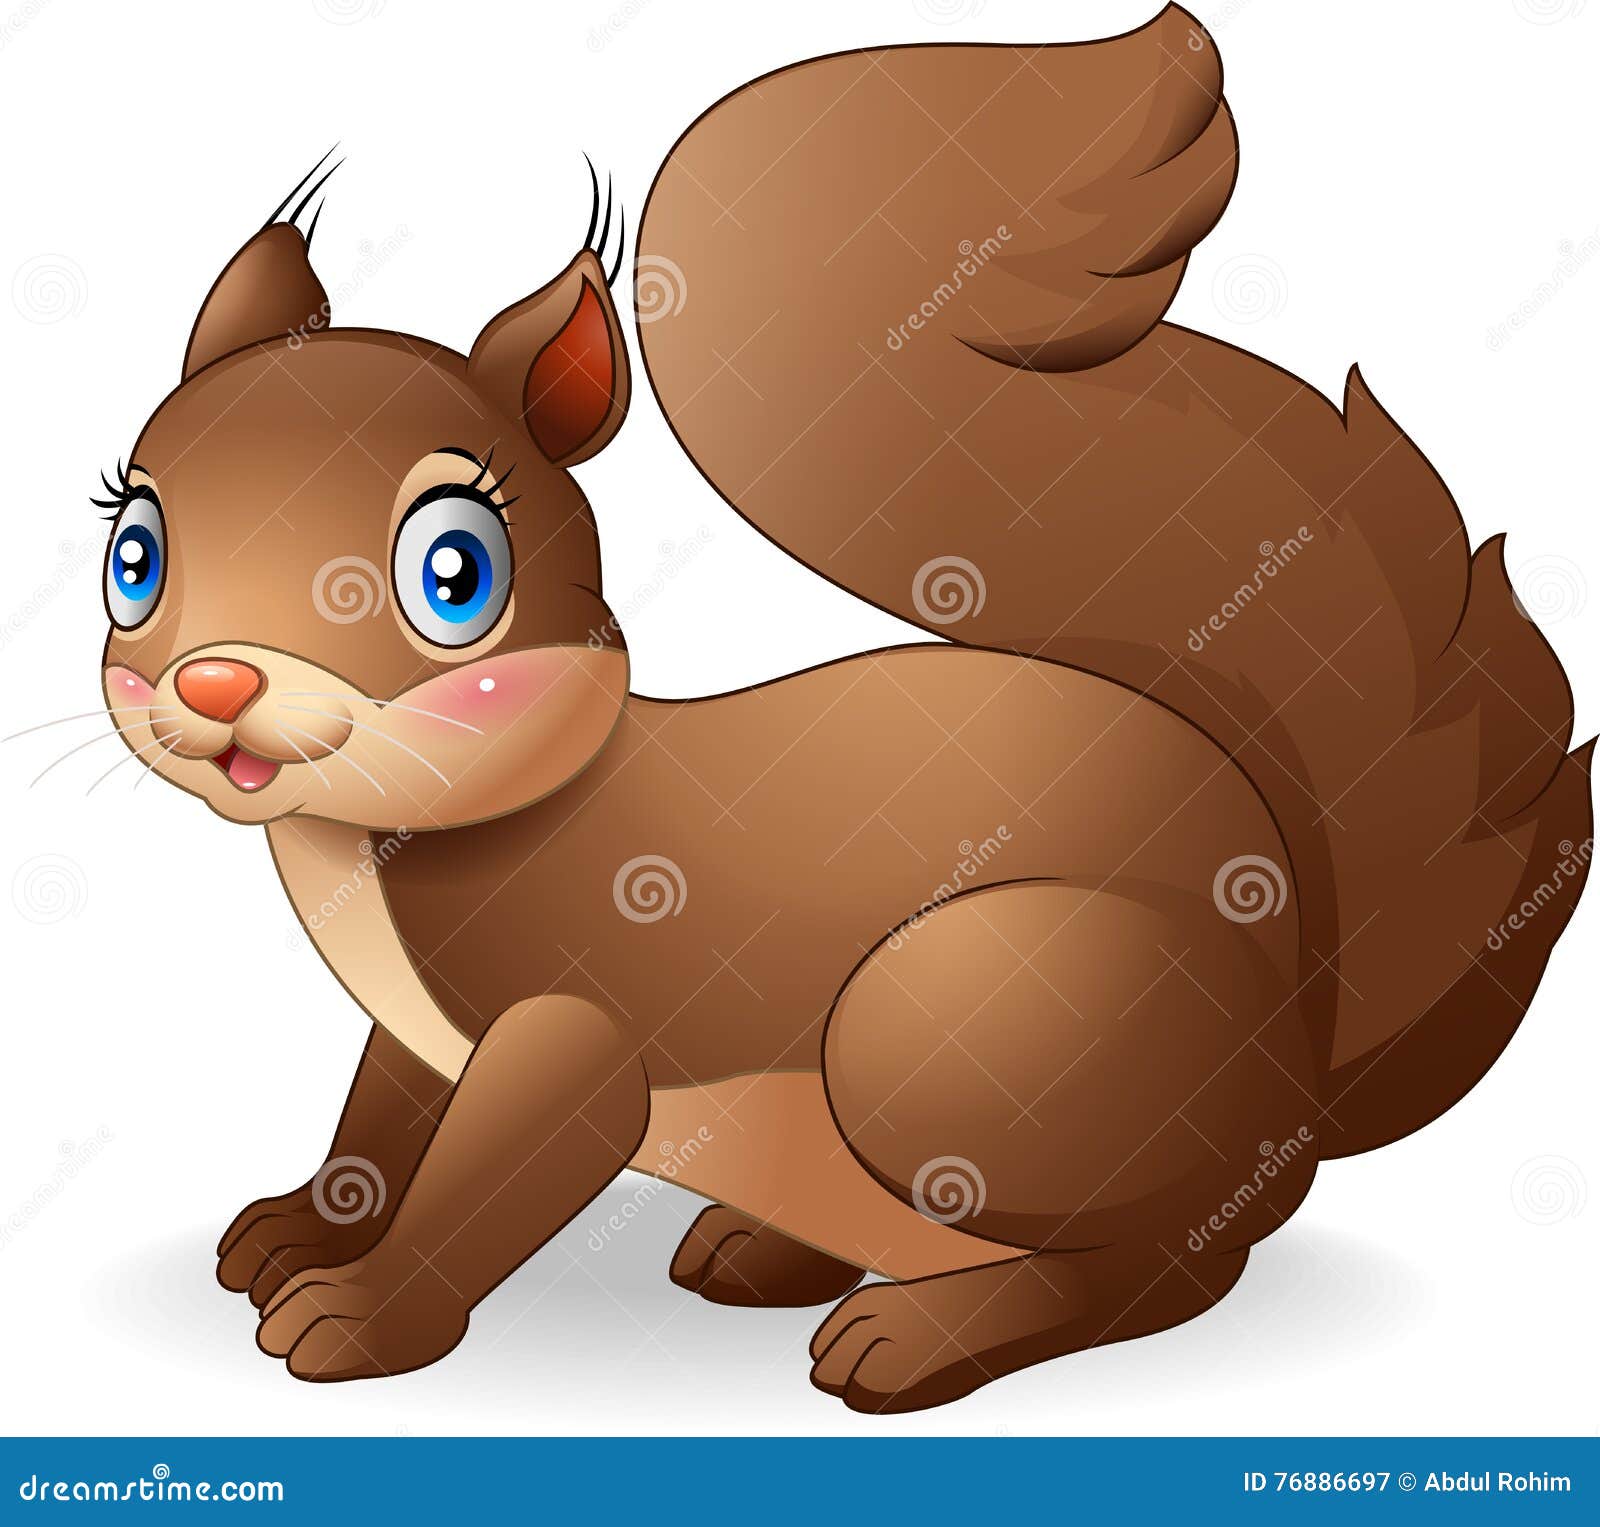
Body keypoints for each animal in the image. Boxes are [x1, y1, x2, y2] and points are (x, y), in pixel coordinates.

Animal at [85, 5, 1590, 1412]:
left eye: (455, 573)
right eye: (133, 547)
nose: (217, 683)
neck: (373, 849)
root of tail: (1302, 1077)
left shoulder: (577, 1022)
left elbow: (500, 1170)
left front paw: (363, 1313)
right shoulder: (420, 1029)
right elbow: (381, 1119)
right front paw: (299, 1225)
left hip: (963, 1023)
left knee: (1170, 1260)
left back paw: (917, 1331)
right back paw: (760, 1250)